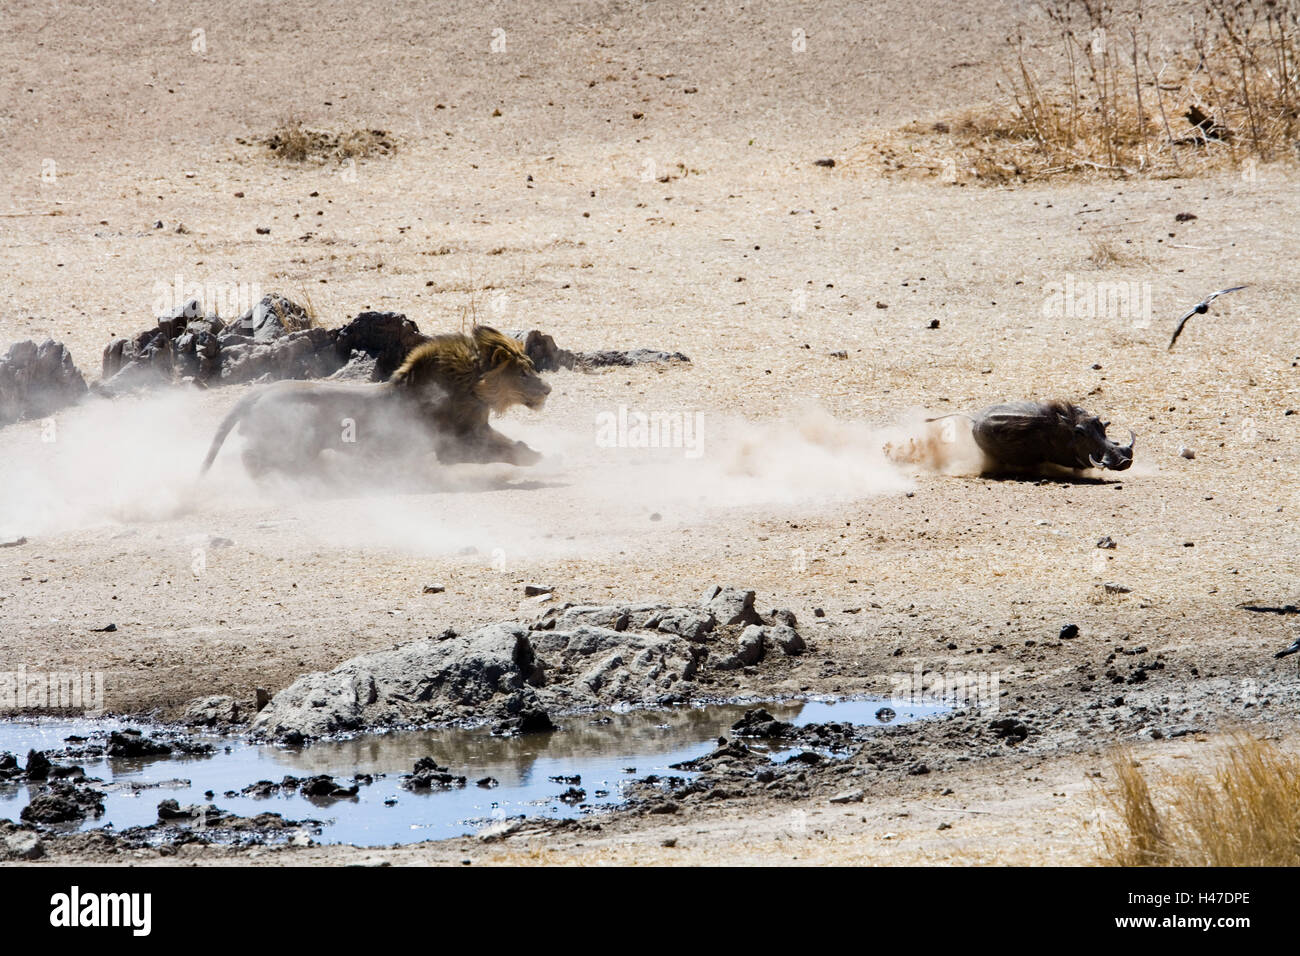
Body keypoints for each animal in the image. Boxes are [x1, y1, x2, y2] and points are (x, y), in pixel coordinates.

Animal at [199, 325, 551, 479]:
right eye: (523, 373)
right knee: (253, 458)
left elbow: (508, 442)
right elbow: (507, 450)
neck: (475, 389)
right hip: (288, 437)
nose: (547, 389)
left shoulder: (477, 430)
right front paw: (541, 459)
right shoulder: (454, 445)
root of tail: (257, 392)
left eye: (531, 367)